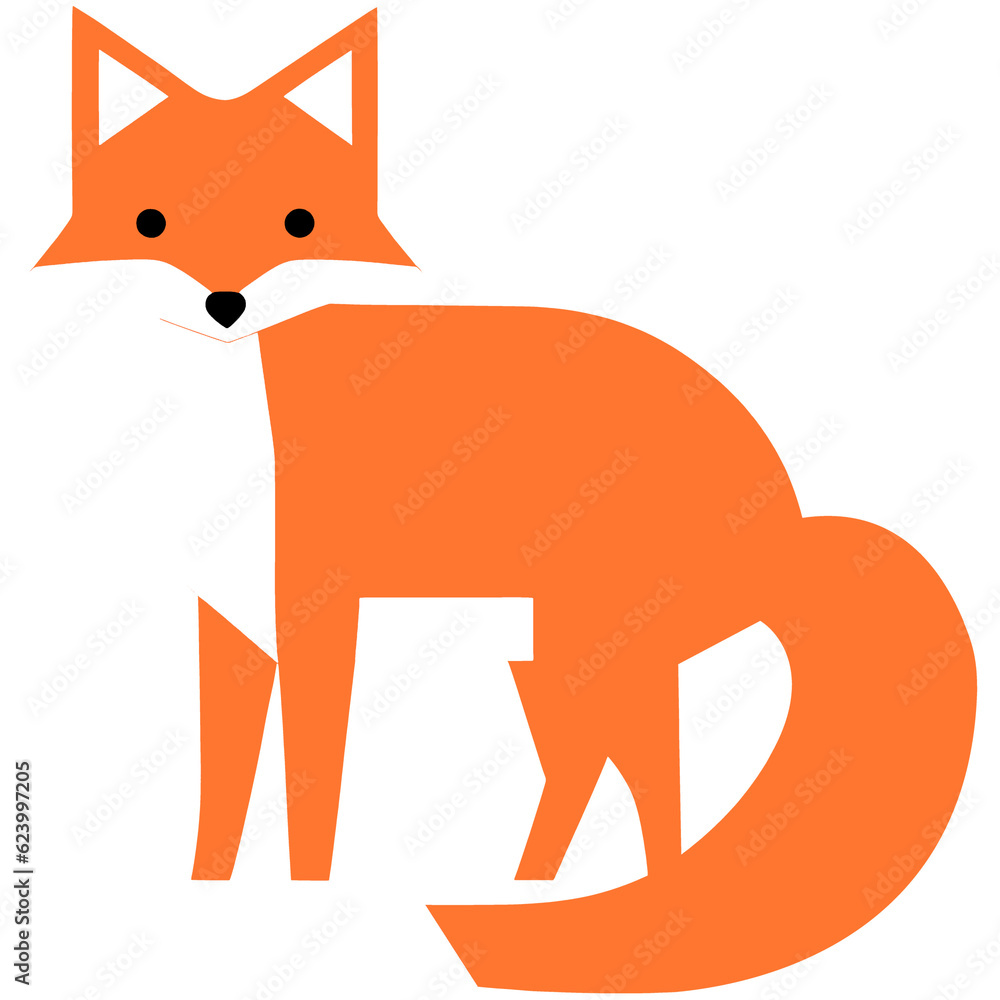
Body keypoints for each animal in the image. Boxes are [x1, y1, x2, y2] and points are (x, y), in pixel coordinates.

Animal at [37, 7, 977, 993]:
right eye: (150, 222)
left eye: (299, 223)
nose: (227, 303)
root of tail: (785, 501)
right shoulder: (224, 625)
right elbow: (220, 795)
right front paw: (210, 892)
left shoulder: (318, 614)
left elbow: (310, 791)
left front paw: (306, 894)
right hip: (541, 661)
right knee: (591, 767)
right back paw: (539, 887)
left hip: (587, 654)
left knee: (658, 780)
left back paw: (641, 915)